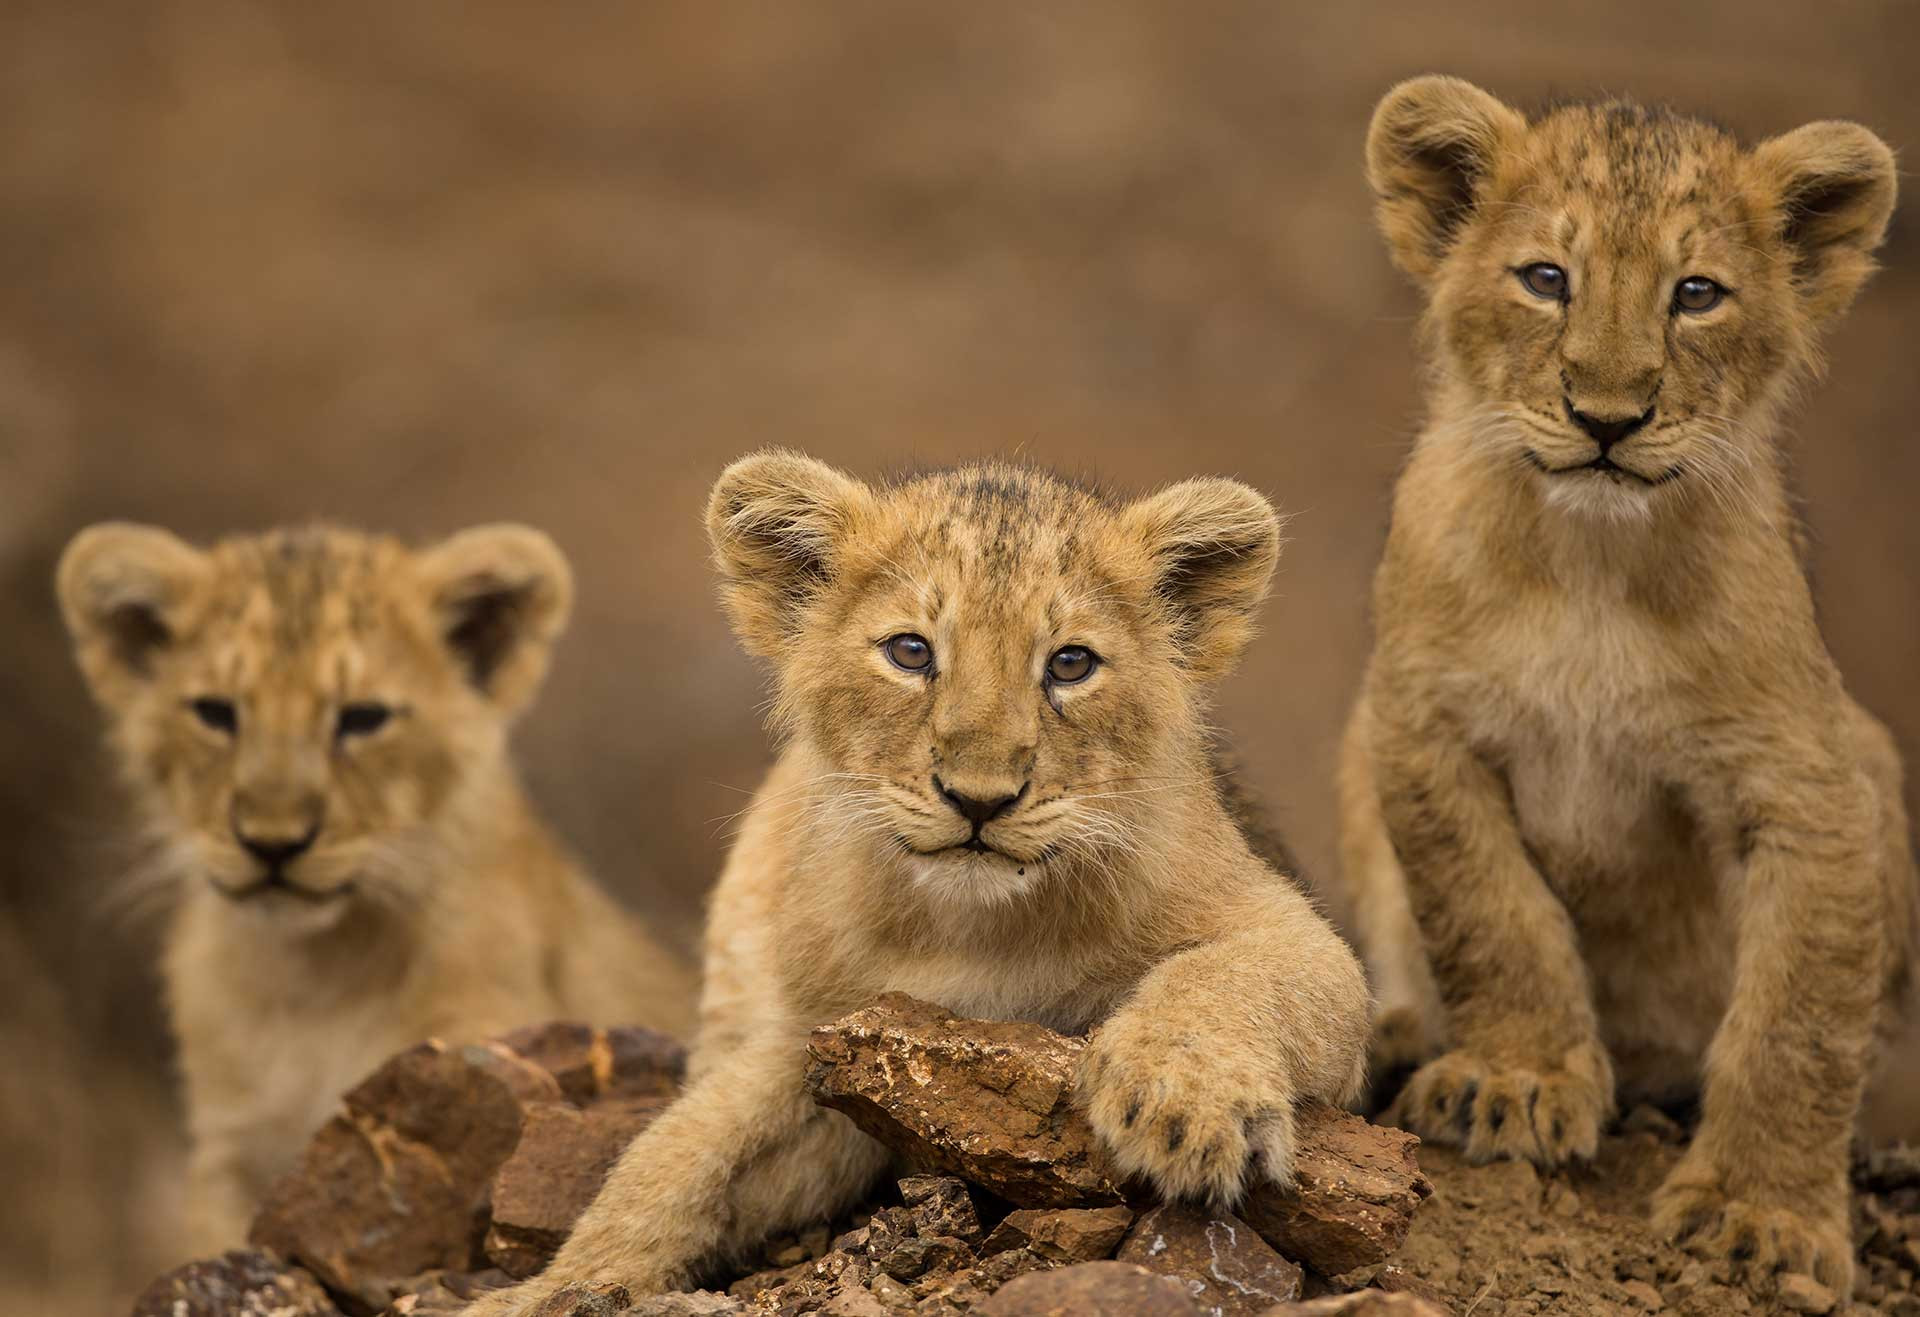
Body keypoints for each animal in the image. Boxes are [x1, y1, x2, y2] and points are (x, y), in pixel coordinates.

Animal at [463, 452, 1370, 1312]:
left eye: (1071, 663)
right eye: (911, 651)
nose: (980, 797)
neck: (970, 925)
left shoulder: (1294, 930)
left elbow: (1226, 972)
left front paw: (1185, 1102)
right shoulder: (821, 1036)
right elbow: (683, 1148)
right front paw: (556, 1286)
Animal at [1339, 75, 1916, 1292]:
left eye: (1696, 294)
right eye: (1545, 278)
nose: (1609, 416)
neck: (1588, 562)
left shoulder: (1814, 784)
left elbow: (1798, 1017)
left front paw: (1762, 1213)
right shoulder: (1416, 728)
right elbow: (1490, 914)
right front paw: (1515, 1079)